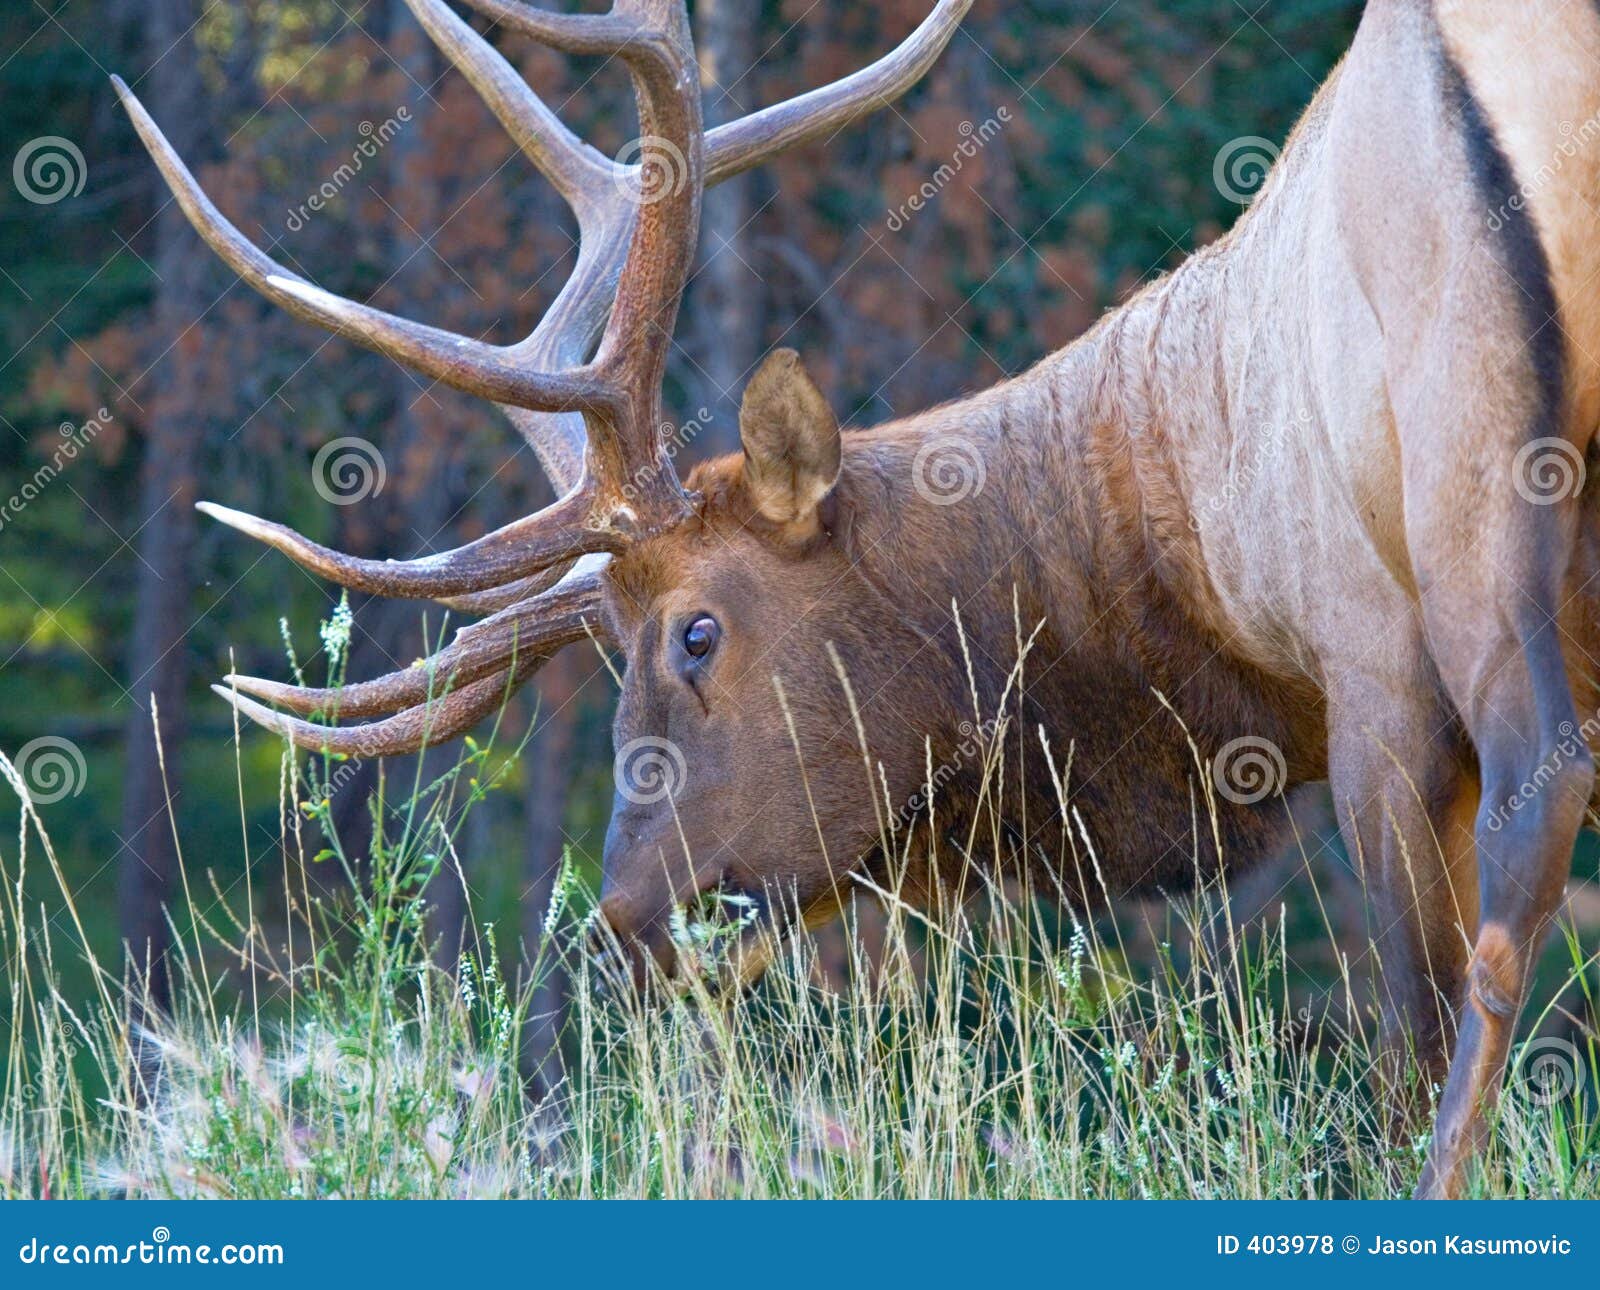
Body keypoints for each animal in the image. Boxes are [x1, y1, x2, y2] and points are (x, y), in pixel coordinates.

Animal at [116, 0, 1600, 1199]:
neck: (1214, 562)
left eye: (697, 629)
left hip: (1470, 490)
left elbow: (1413, 1018)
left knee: (1533, 807)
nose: (630, 923)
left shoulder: (1366, 659)